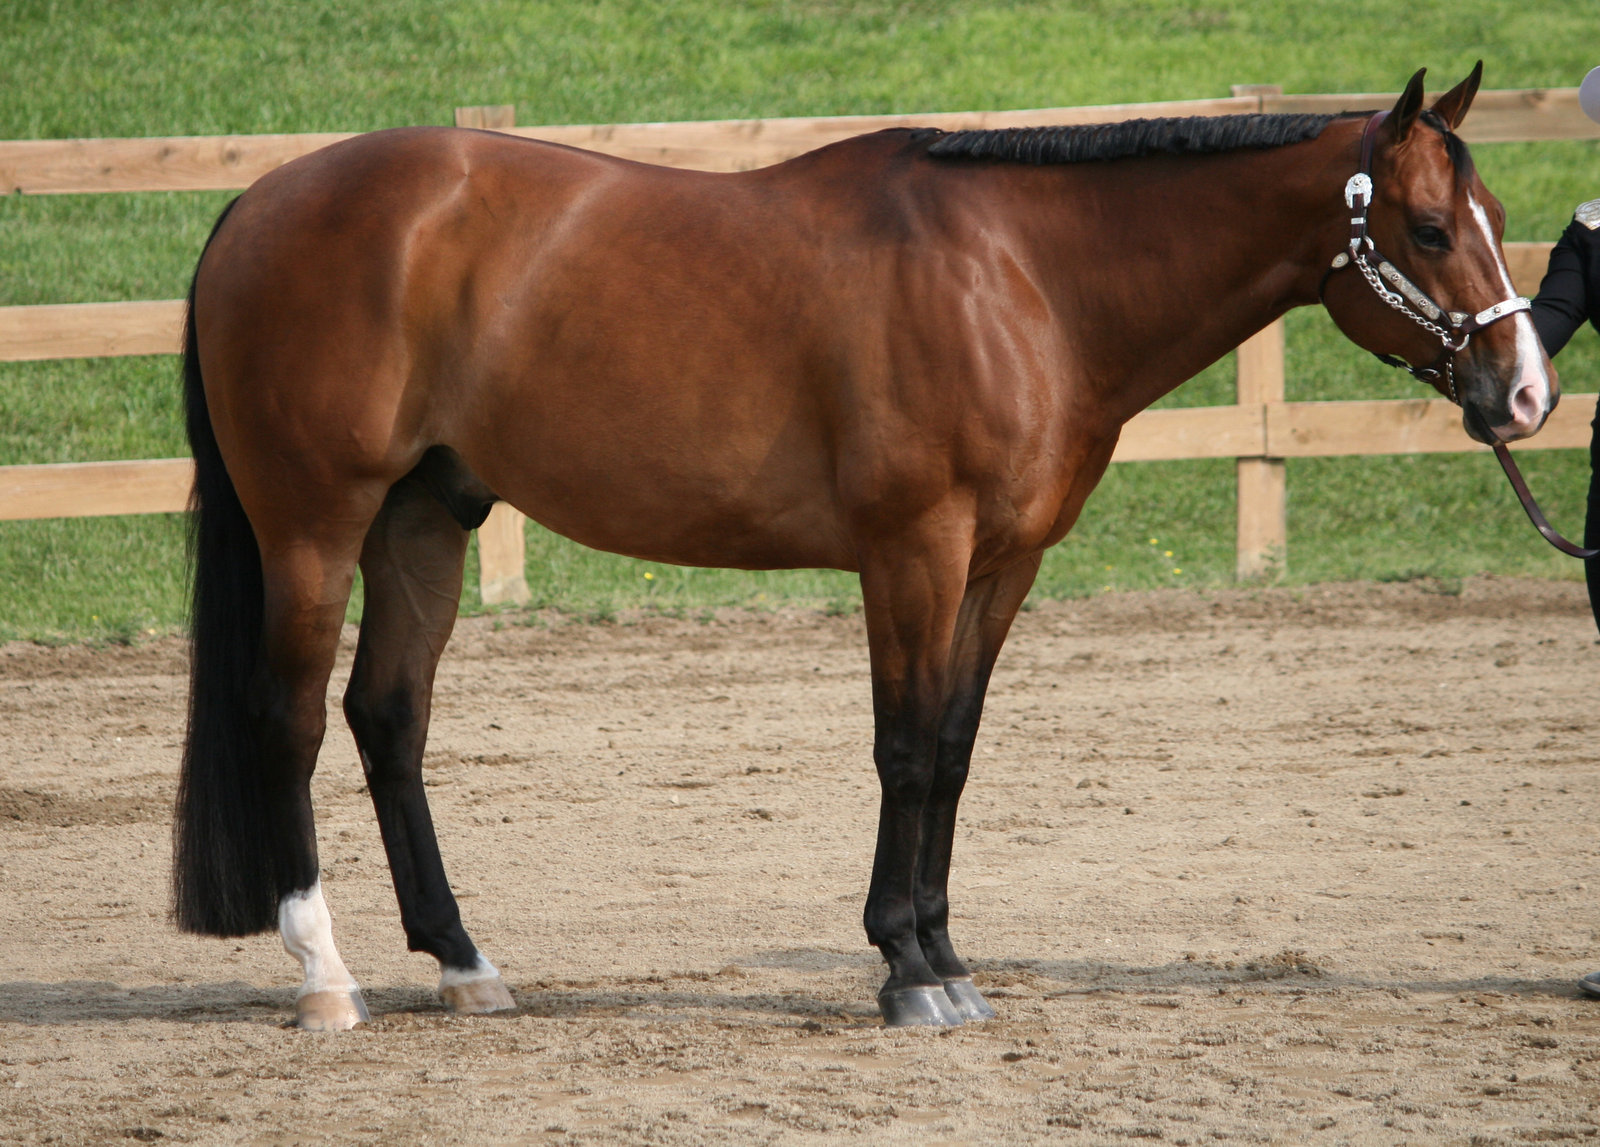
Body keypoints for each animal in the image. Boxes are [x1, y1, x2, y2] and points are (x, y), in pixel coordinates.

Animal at [172, 64, 1552, 1029]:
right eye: (1429, 229)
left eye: (1492, 210)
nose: (1527, 393)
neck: (1023, 278)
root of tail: (257, 202)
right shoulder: (913, 550)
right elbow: (901, 748)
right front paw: (904, 967)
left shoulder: (1002, 566)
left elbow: (951, 752)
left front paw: (943, 955)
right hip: (316, 525)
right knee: (289, 719)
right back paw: (325, 978)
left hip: (424, 519)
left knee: (388, 717)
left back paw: (465, 964)